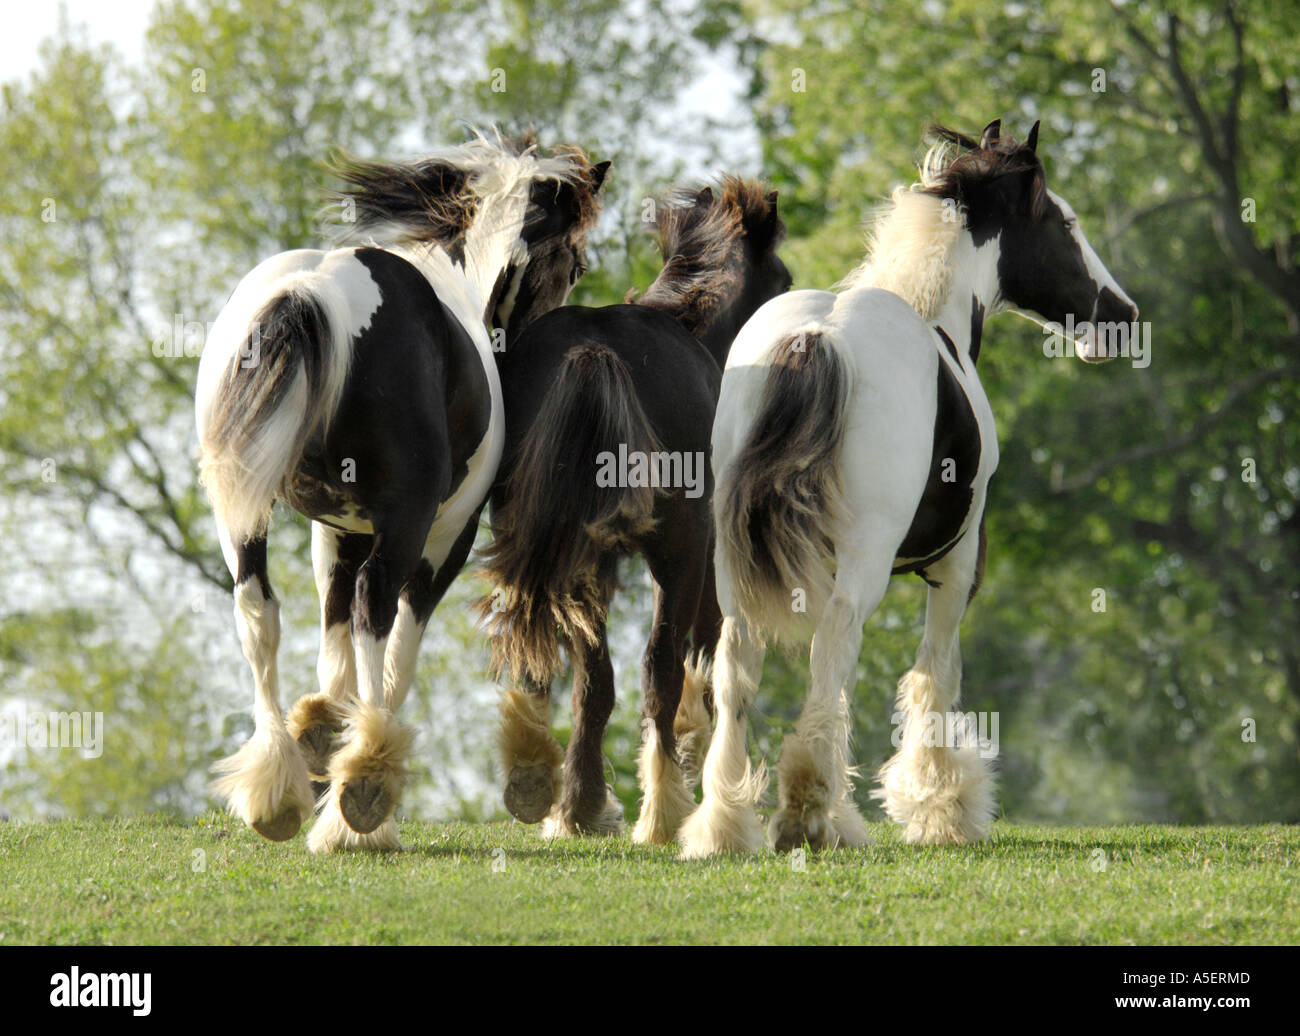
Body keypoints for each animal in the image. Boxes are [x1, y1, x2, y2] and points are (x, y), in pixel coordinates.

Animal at [195, 134, 609, 852]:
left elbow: (333, 646)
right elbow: (395, 655)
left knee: (258, 610)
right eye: (574, 262)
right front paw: (355, 767)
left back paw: (276, 789)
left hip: (239, 512)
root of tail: (312, 293)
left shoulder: (335, 531)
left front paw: (325, 737)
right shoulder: (444, 537)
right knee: (374, 608)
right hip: (410, 525)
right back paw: (362, 803)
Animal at [475, 178, 790, 843]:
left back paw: (571, 799)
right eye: (781, 279)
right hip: (678, 549)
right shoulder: (705, 560)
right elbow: (700, 664)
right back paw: (663, 808)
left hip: (565, 550)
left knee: (588, 674)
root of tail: (596, 351)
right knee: (659, 668)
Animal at [678, 120, 1139, 857]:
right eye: (1063, 222)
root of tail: (817, 338)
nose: (1122, 315)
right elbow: (935, 674)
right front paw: (943, 807)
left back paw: (725, 822)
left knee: (736, 663)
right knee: (833, 648)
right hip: (862, 564)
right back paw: (813, 813)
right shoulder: (959, 563)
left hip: (734, 566)